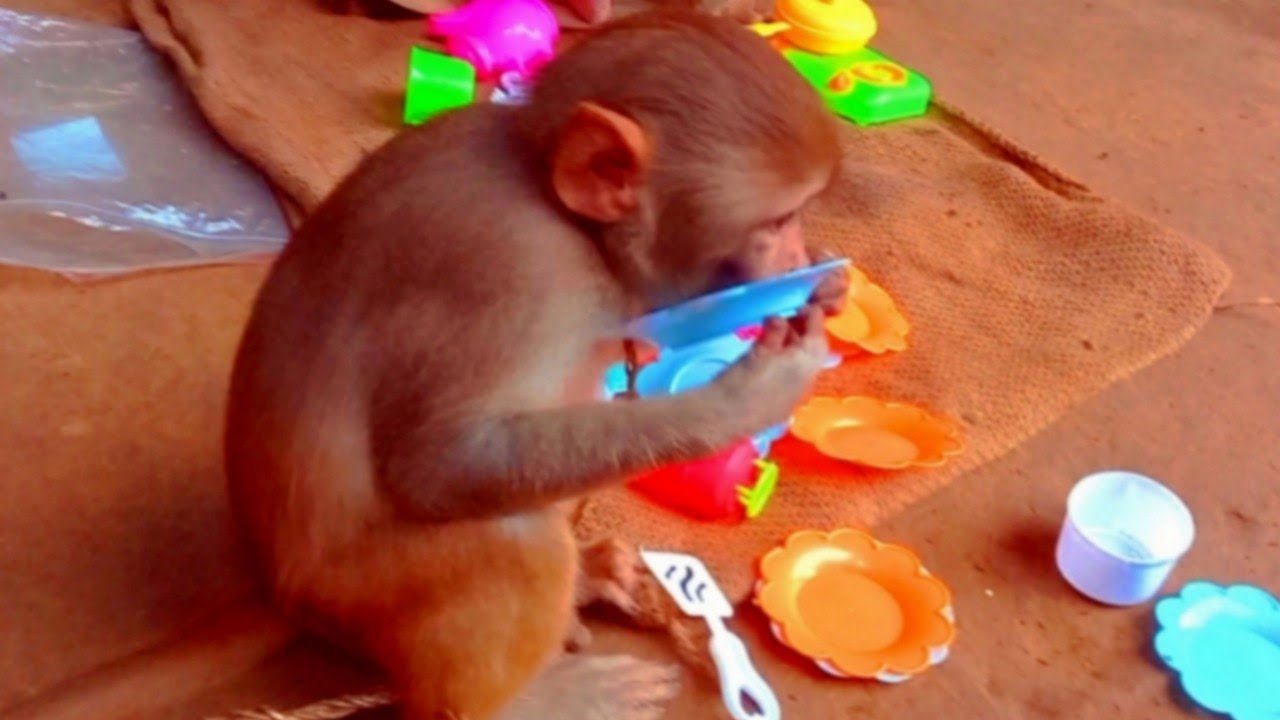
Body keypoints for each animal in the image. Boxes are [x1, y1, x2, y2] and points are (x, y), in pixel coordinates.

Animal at [225, 10, 847, 720]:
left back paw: (587, 577)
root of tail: (281, 594)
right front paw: (746, 398)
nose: (795, 257)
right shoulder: (517, 272)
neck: (573, 222)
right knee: (518, 535)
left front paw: (826, 287)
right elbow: (439, 465)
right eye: (778, 220)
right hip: (355, 599)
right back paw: (538, 695)